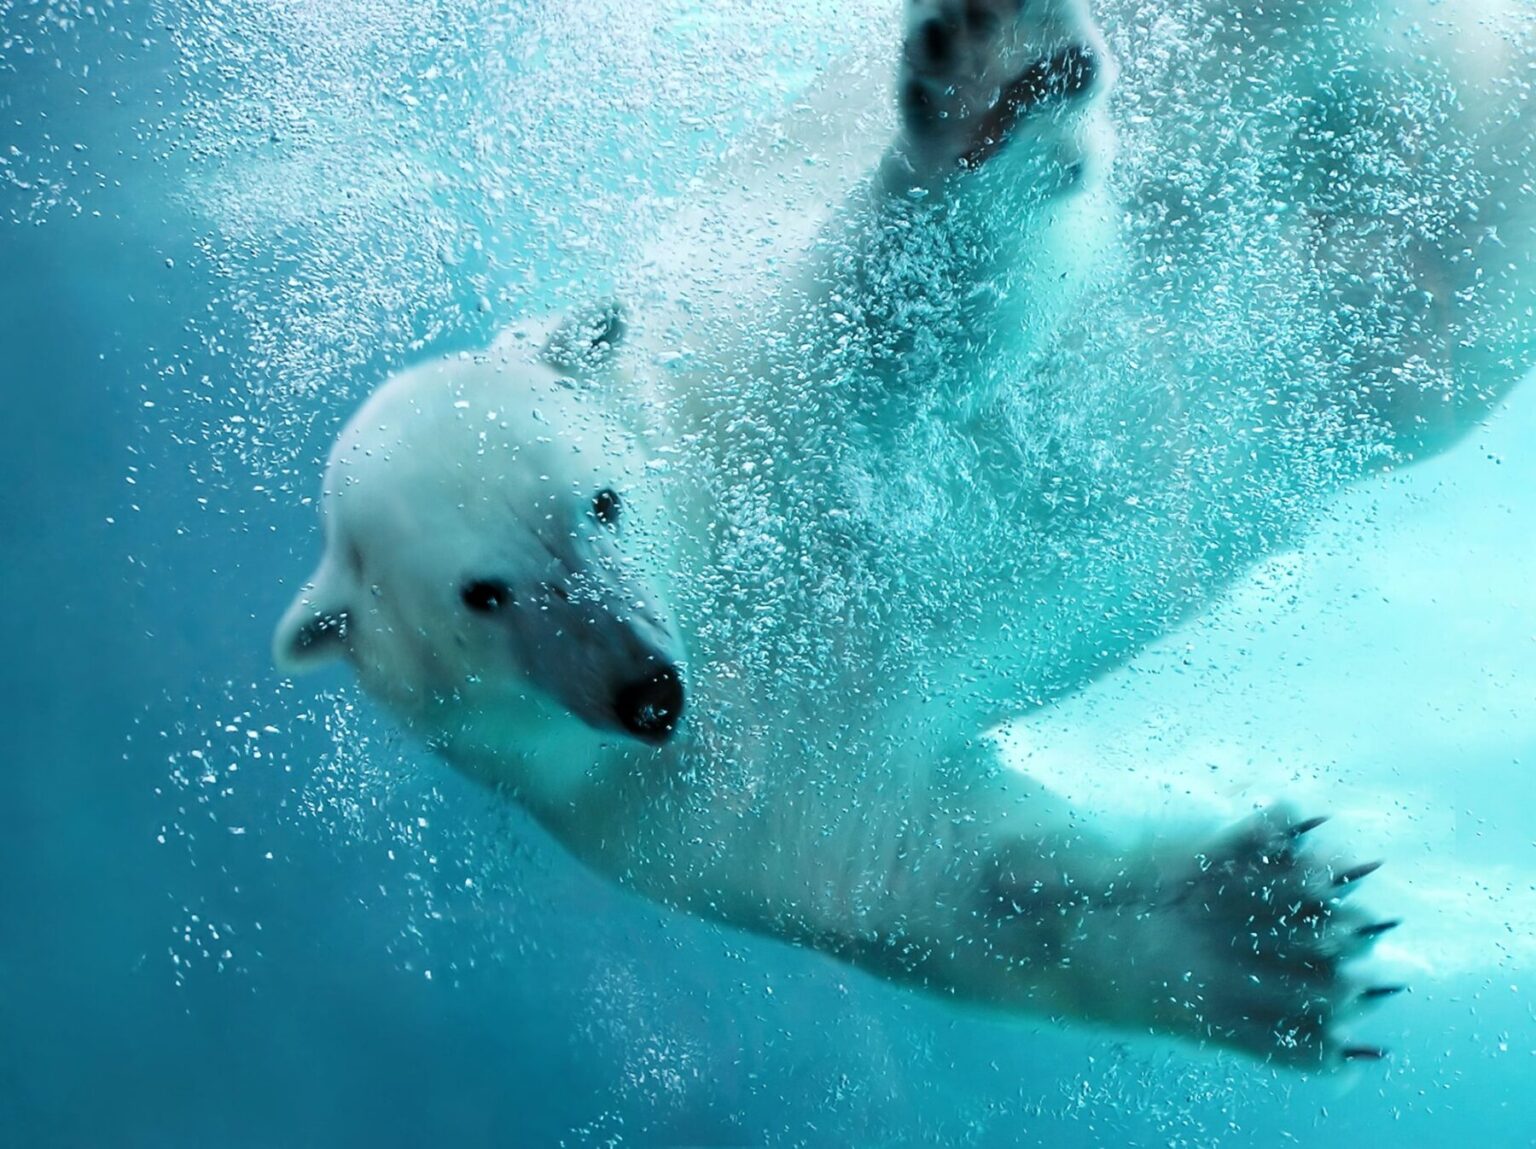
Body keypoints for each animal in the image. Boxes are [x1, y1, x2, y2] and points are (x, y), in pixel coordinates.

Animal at [273, 0, 1533, 1066]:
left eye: (600, 502)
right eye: (482, 596)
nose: (649, 690)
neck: (722, 584)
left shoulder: (761, 385)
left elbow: (911, 302)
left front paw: (992, 84)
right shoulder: (690, 812)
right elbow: (947, 884)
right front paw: (1270, 937)